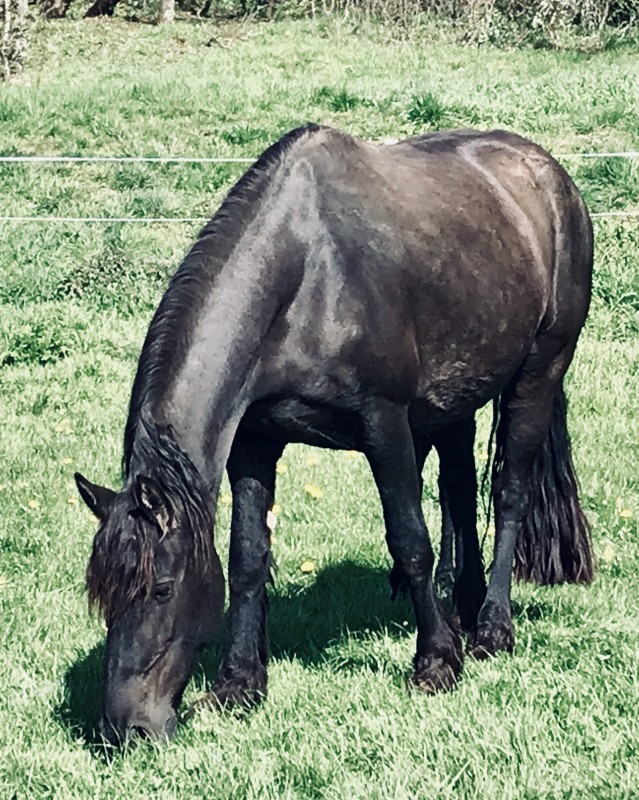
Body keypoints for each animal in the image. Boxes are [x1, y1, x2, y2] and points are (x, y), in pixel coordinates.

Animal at [75, 123, 593, 745]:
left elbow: (410, 541)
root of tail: (549, 173)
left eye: (161, 589)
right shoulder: (254, 443)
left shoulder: (385, 425)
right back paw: (463, 609)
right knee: (461, 494)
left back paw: (491, 629)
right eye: (102, 594)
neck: (307, 275)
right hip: (455, 400)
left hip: (540, 370)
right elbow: (248, 558)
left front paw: (436, 662)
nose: (125, 728)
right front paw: (239, 685)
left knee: (509, 494)